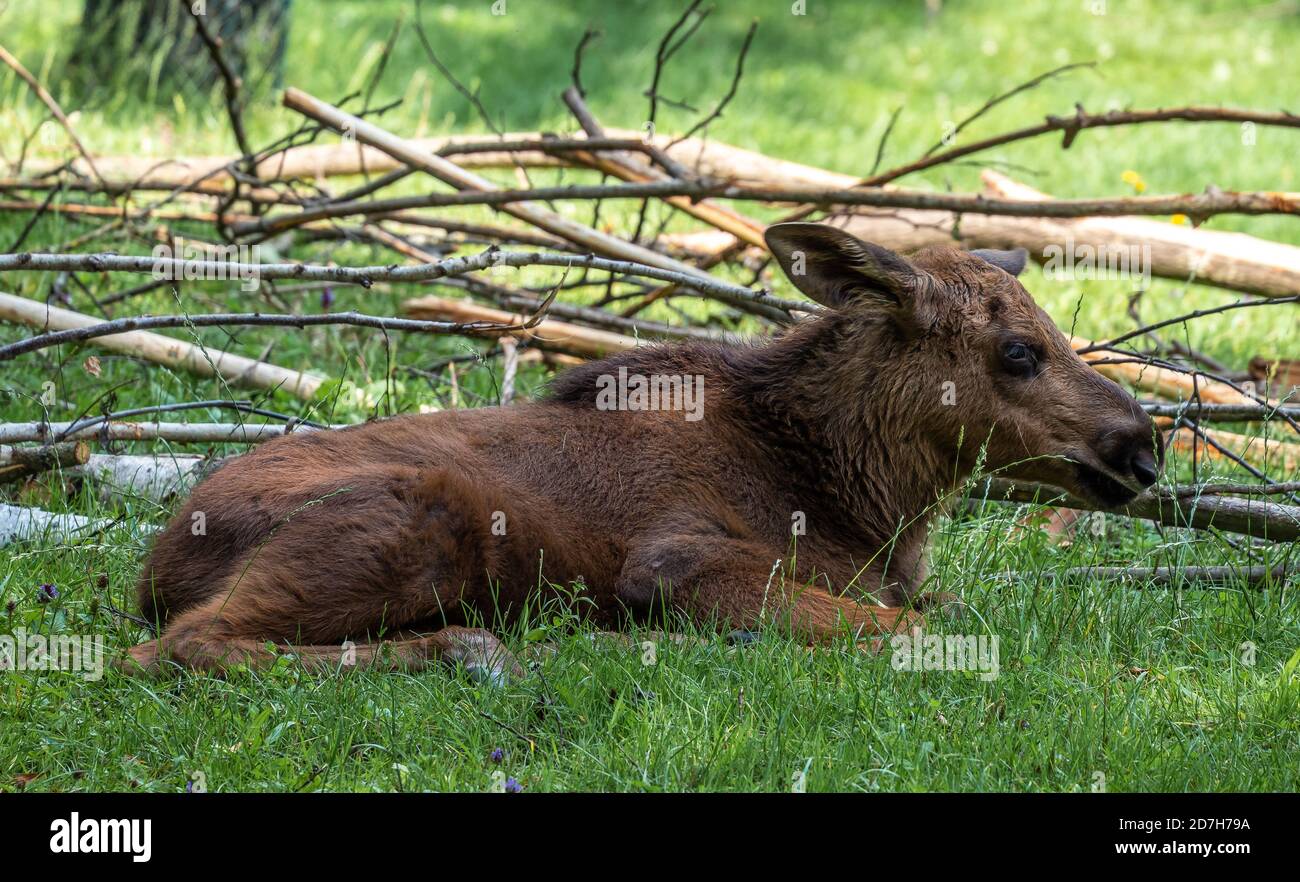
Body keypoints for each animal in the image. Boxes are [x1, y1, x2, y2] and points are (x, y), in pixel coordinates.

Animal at [122, 222, 1164, 680]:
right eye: (1018, 351)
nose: (1145, 446)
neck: (864, 500)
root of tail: (153, 567)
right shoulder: (673, 558)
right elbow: (912, 627)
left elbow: (933, 608)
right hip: (420, 513)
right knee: (179, 645)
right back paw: (476, 648)